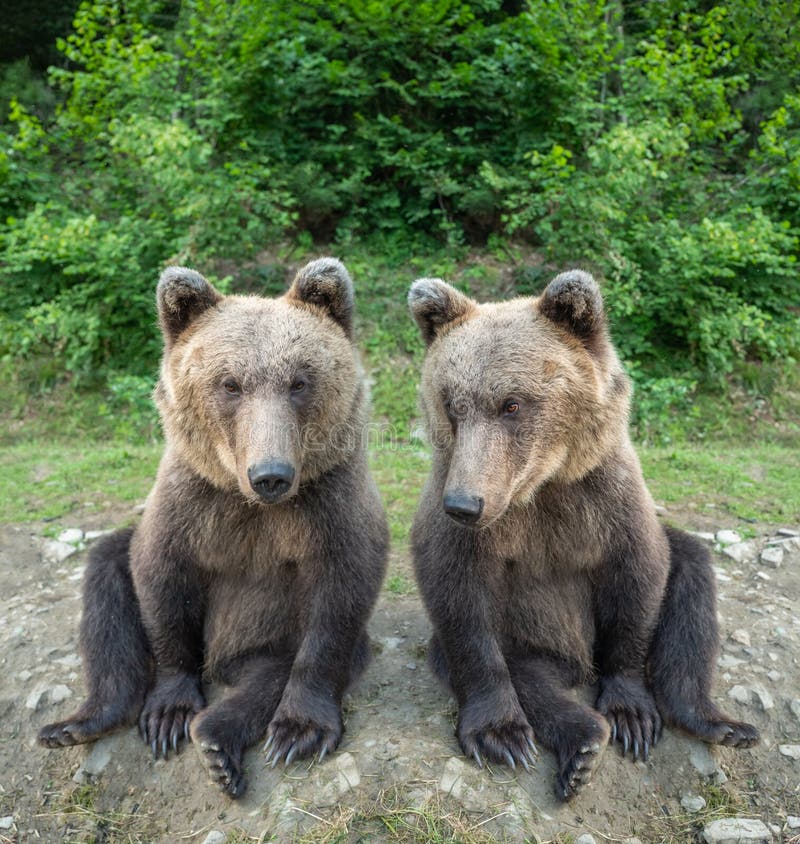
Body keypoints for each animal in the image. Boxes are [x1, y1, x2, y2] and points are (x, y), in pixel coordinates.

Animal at [38, 258, 389, 798]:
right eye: (230, 383)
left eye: (299, 381)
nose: (270, 474)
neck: (251, 503)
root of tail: (227, 661)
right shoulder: (192, 500)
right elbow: (161, 580)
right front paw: (168, 711)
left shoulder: (329, 502)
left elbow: (339, 599)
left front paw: (302, 729)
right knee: (107, 583)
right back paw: (79, 723)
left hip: (273, 633)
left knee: (273, 674)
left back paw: (219, 739)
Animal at [407, 270, 759, 801]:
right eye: (451, 403)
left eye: (511, 403)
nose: (465, 505)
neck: (541, 485)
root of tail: (573, 664)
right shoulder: (466, 516)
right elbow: (460, 603)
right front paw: (498, 733)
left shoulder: (605, 496)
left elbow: (638, 578)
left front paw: (631, 712)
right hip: (526, 633)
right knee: (526, 676)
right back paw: (582, 741)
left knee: (691, 584)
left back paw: (718, 723)